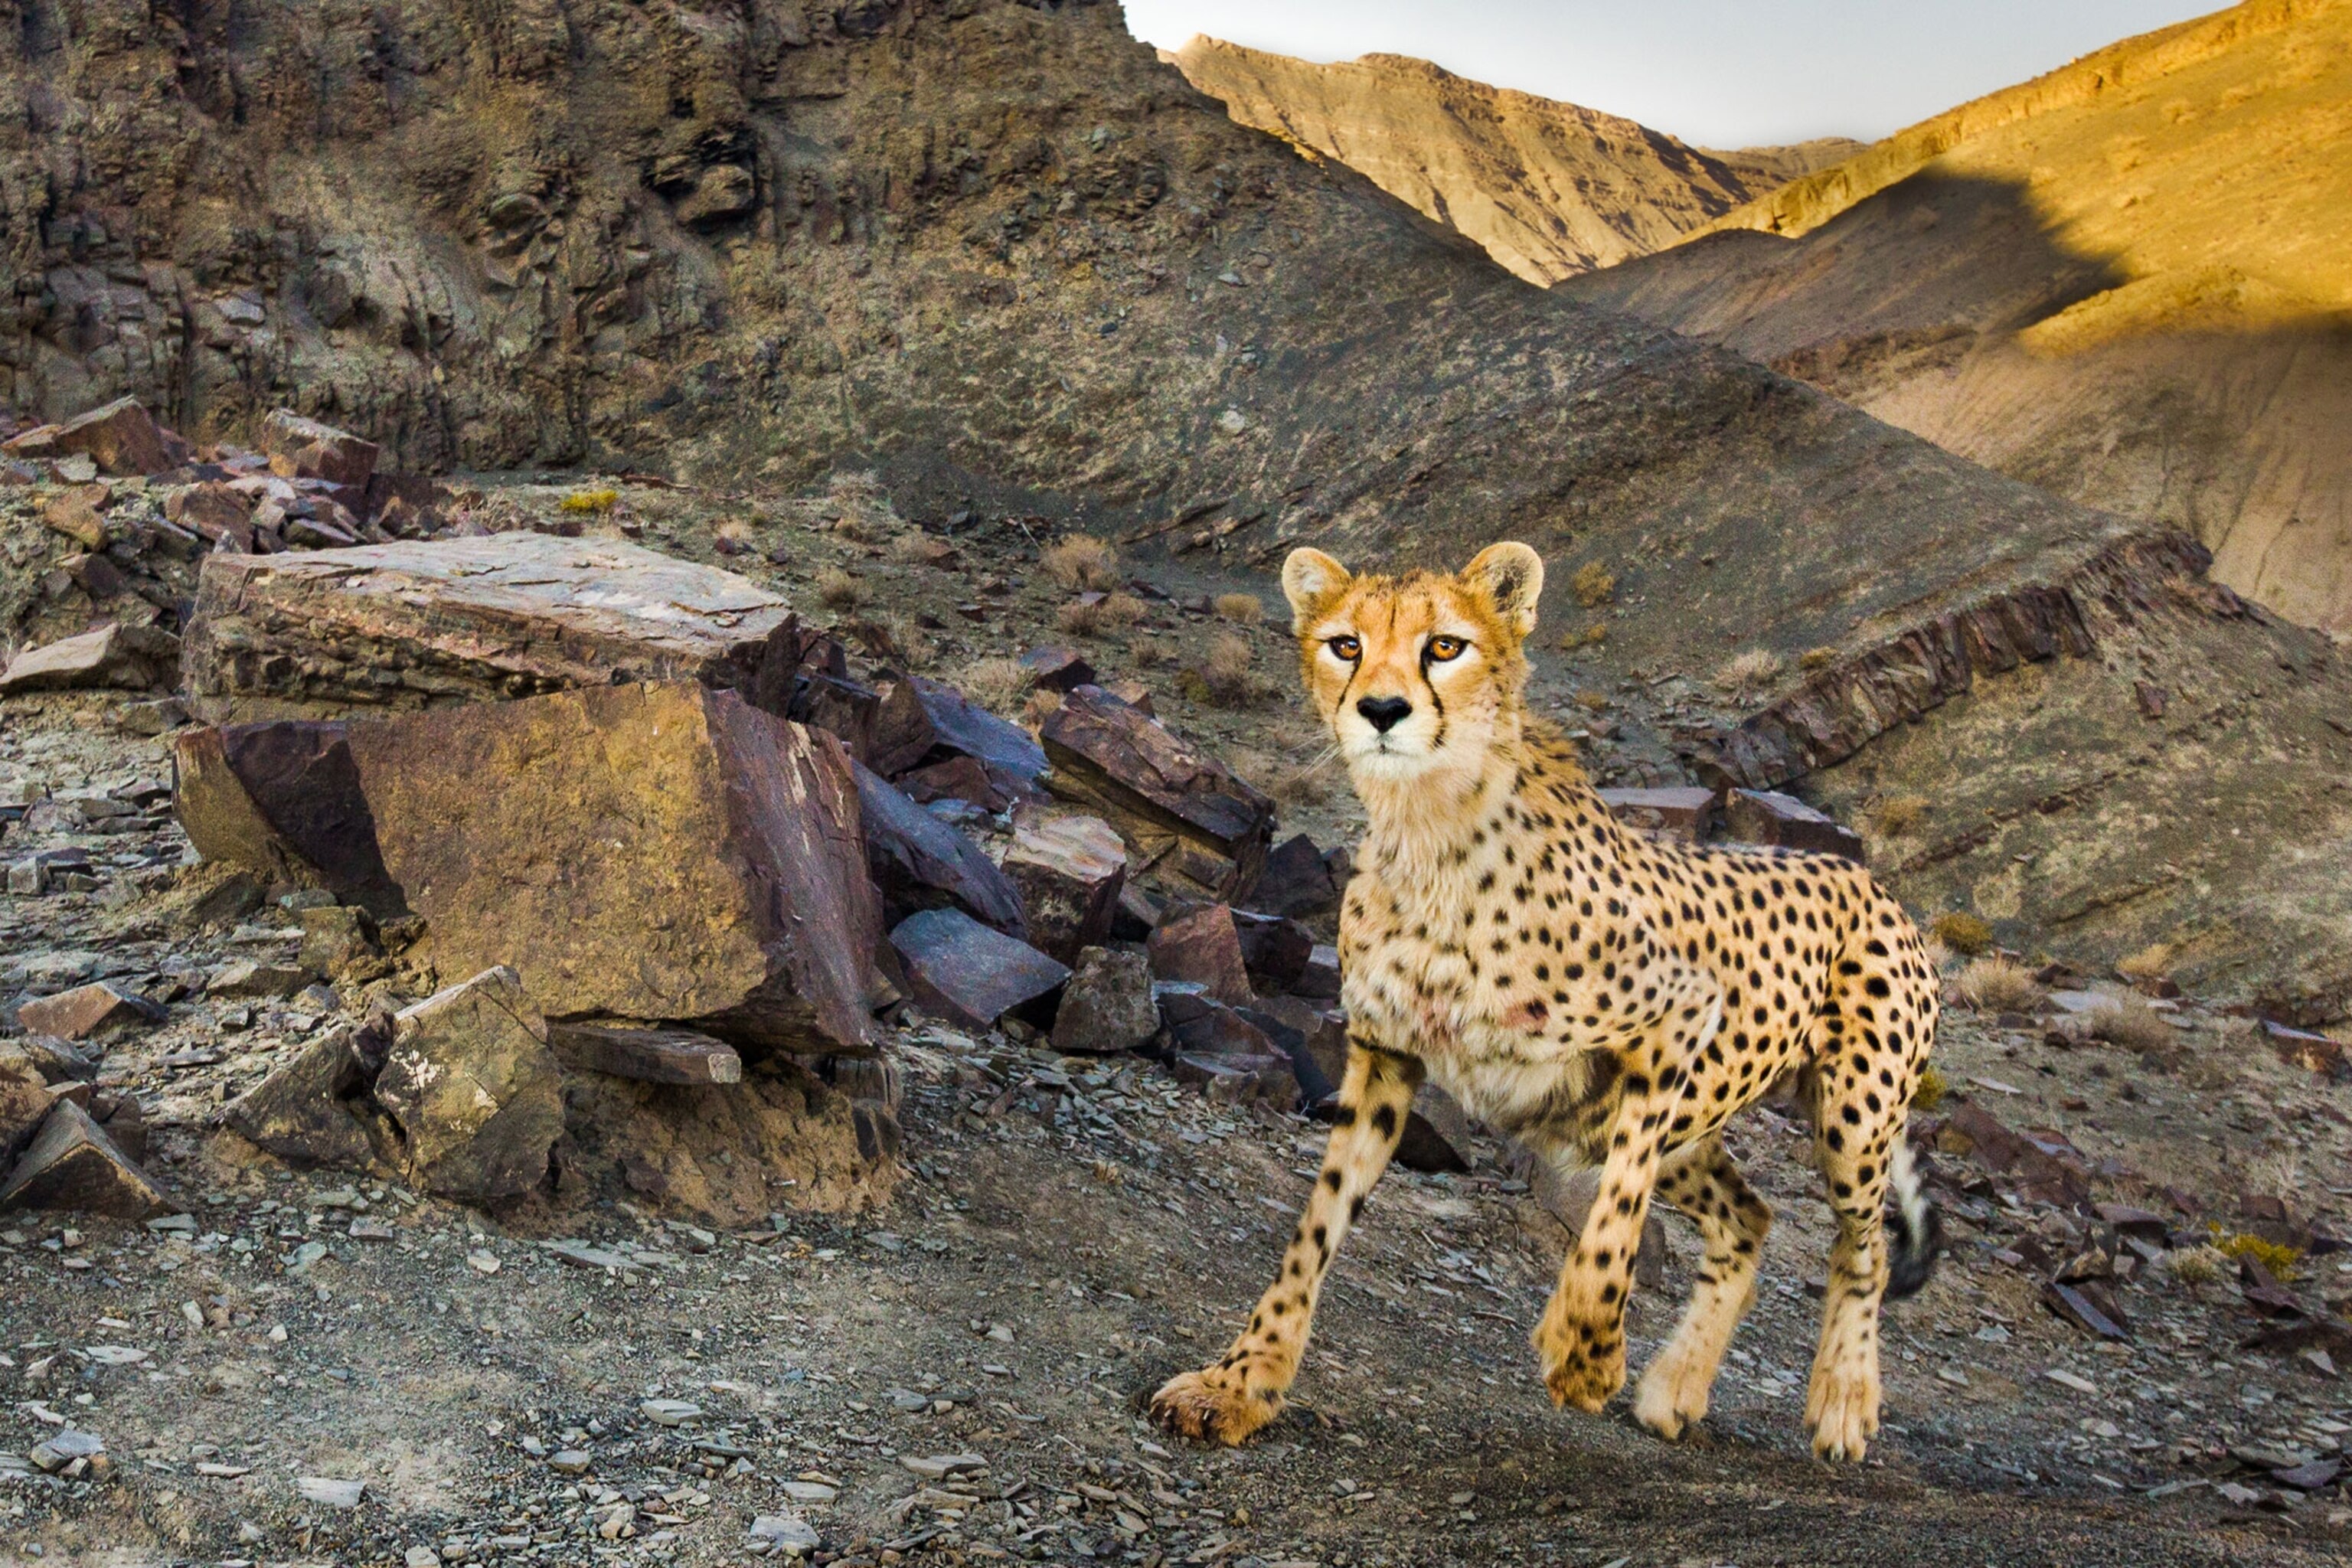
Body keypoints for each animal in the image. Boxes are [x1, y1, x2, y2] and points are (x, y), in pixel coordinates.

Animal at [1151, 541, 1942, 1462]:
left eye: (1445, 647)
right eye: (1346, 645)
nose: (1382, 710)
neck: (1431, 829)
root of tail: (1866, 875)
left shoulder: (1677, 1020)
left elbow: (1615, 1214)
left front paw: (1586, 1352)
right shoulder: (1386, 1058)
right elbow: (1312, 1232)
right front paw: (1238, 1384)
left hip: (1848, 1118)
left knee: (1864, 1247)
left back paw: (1843, 1402)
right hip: (1692, 1123)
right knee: (1751, 1216)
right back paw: (1675, 1388)